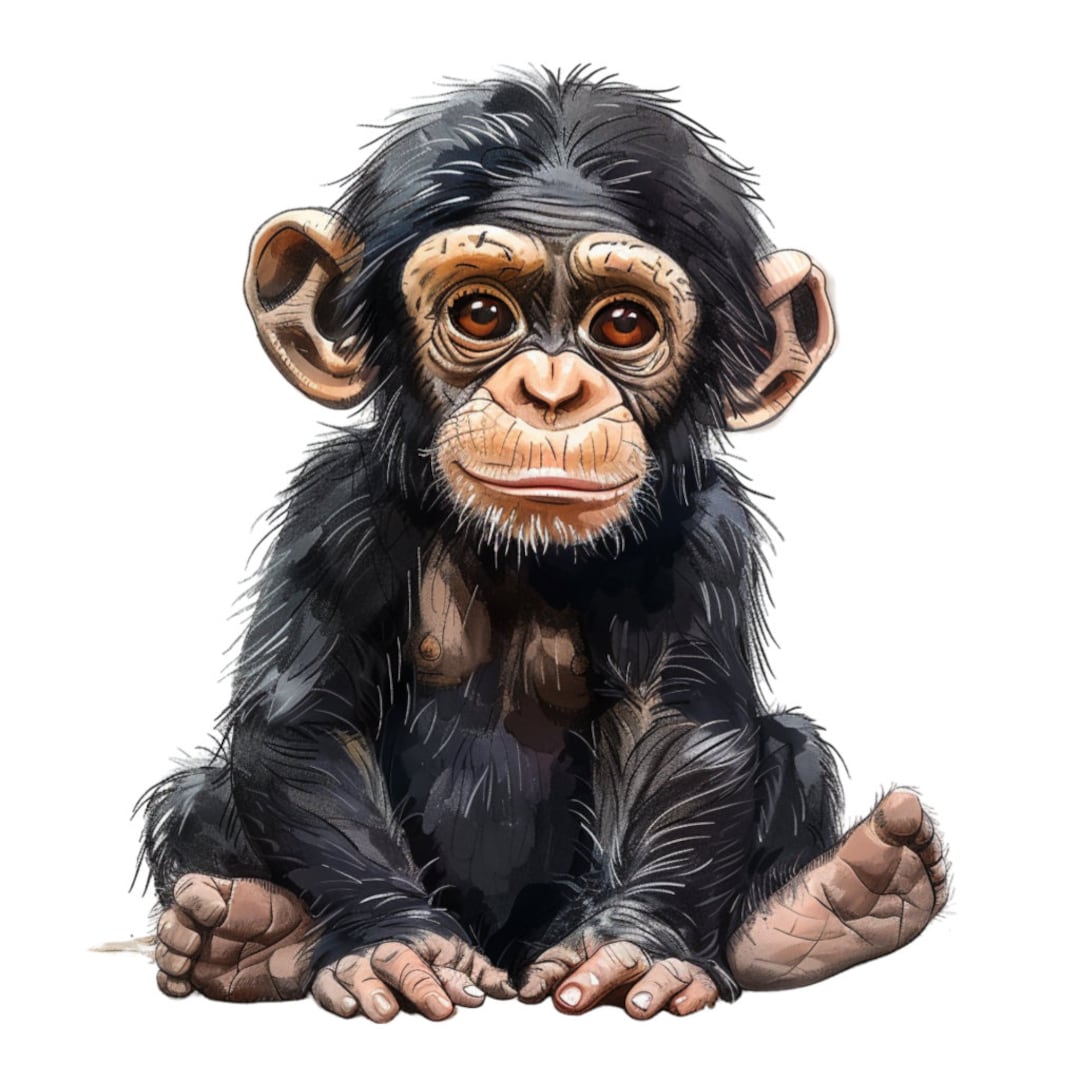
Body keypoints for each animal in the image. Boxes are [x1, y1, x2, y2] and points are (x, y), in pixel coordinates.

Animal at [141, 68, 947, 1021]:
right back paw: (246, 936)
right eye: (482, 313)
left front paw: (634, 946)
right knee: (195, 799)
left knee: (795, 751)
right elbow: (308, 722)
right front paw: (396, 944)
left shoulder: (711, 531)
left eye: (625, 324)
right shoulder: (332, 510)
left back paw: (826, 914)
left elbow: (683, 728)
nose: (553, 392)